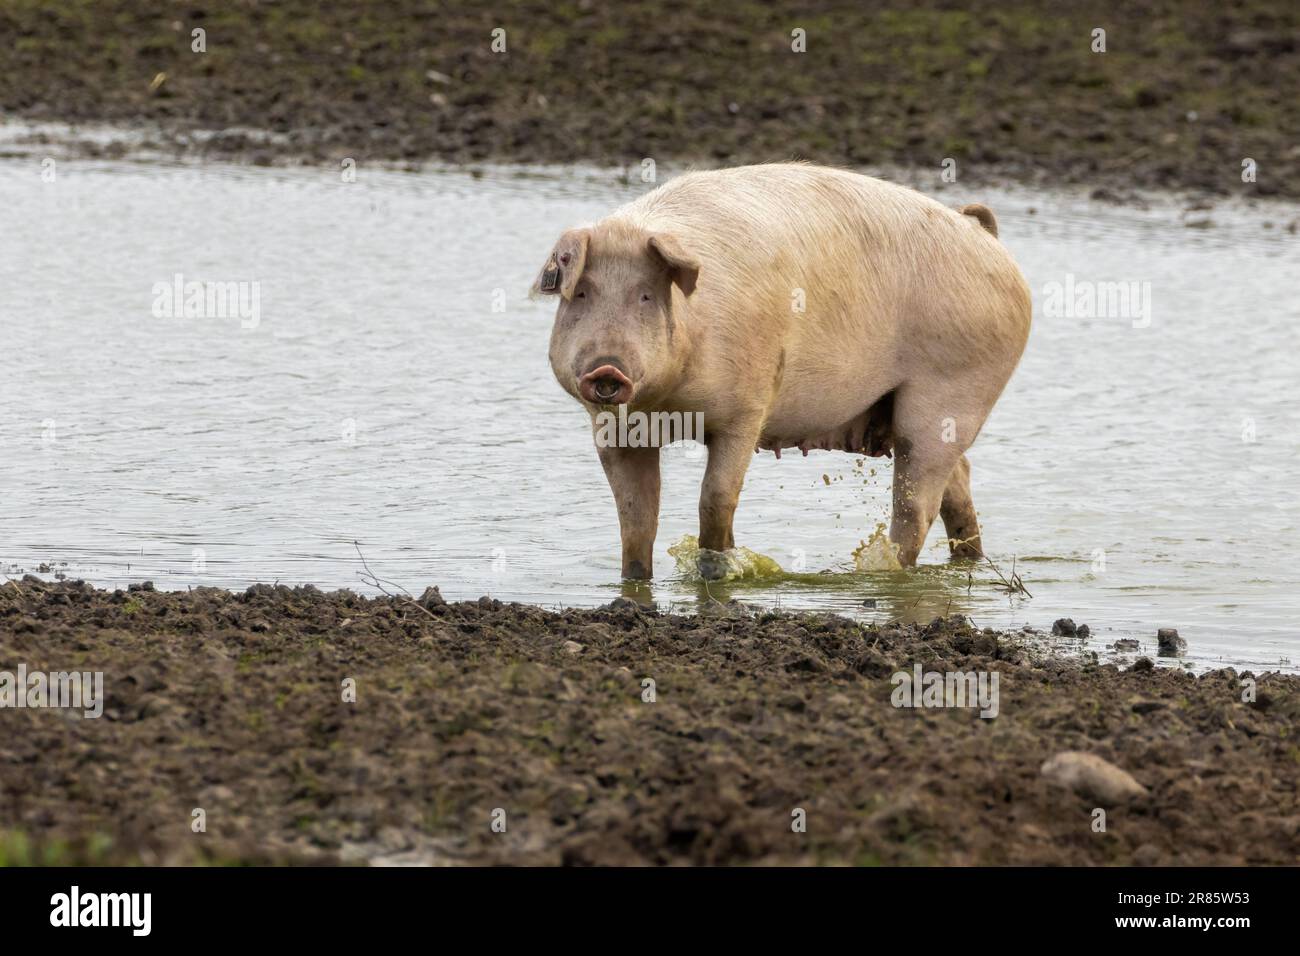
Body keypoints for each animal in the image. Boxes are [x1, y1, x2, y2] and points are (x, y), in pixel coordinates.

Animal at [532, 163, 1031, 579]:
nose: (606, 369)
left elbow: (716, 499)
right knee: (957, 481)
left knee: (916, 503)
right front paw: (635, 582)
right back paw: (966, 563)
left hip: (954, 390)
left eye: (645, 295)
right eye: (582, 295)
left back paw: (886, 573)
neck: (668, 404)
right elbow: (635, 519)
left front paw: (718, 573)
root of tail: (981, 232)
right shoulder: (615, 428)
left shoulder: (748, 406)